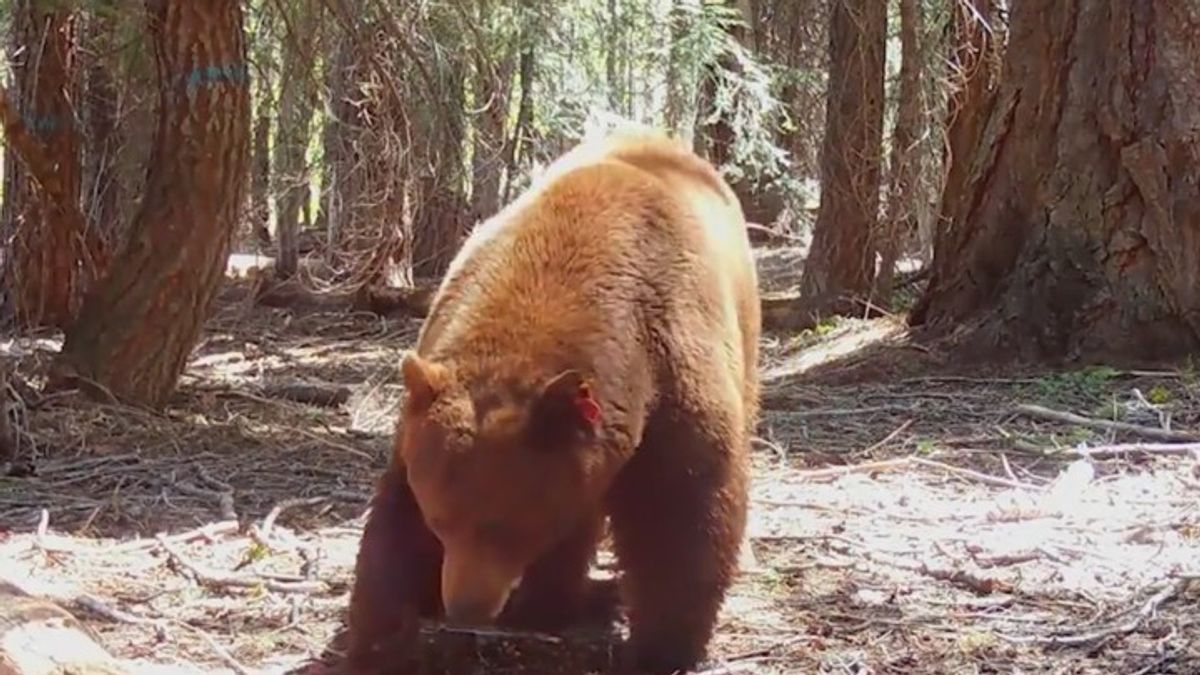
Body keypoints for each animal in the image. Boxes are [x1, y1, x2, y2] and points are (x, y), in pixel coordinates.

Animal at [345, 129, 761, 674]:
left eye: (509, 527)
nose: (466, 605)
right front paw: (379, 637)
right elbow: (395, 517)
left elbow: (681, 513)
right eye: (442, 519)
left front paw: (661, 647)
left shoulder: (673, 373)